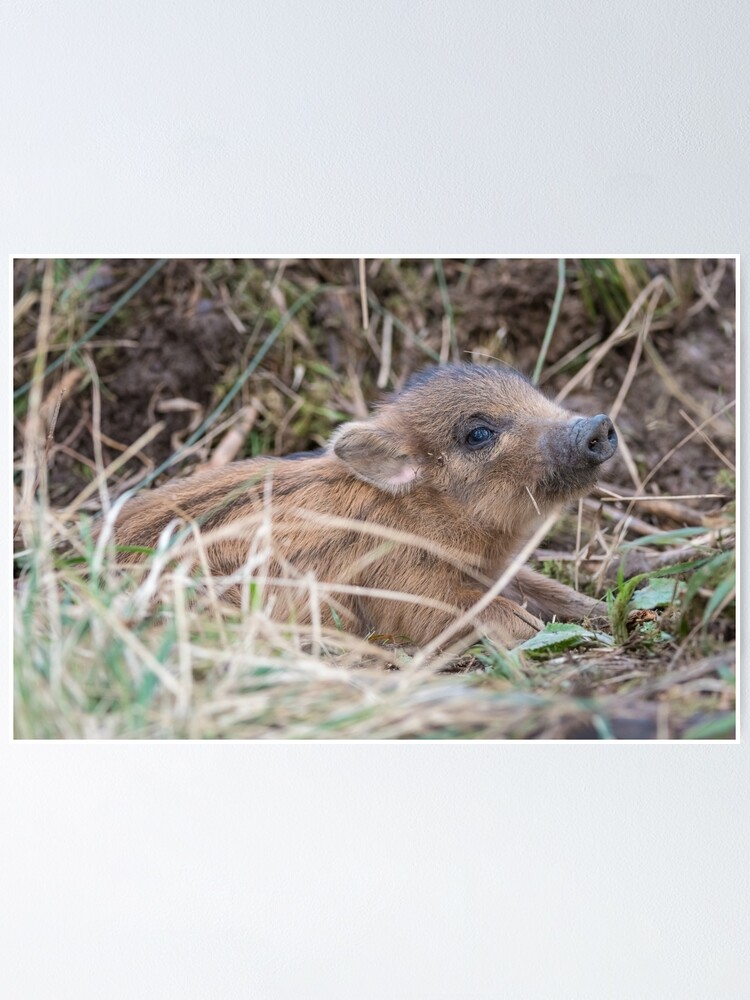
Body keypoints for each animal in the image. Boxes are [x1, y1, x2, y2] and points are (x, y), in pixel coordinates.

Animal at [111, 364, 617, 648]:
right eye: (478, 433)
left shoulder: (500, 569)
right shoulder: (396, 584)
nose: (598, 424)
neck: (419, 517)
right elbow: (464, 608)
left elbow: (551, 590)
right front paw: (531, 629)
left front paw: (601, 612)